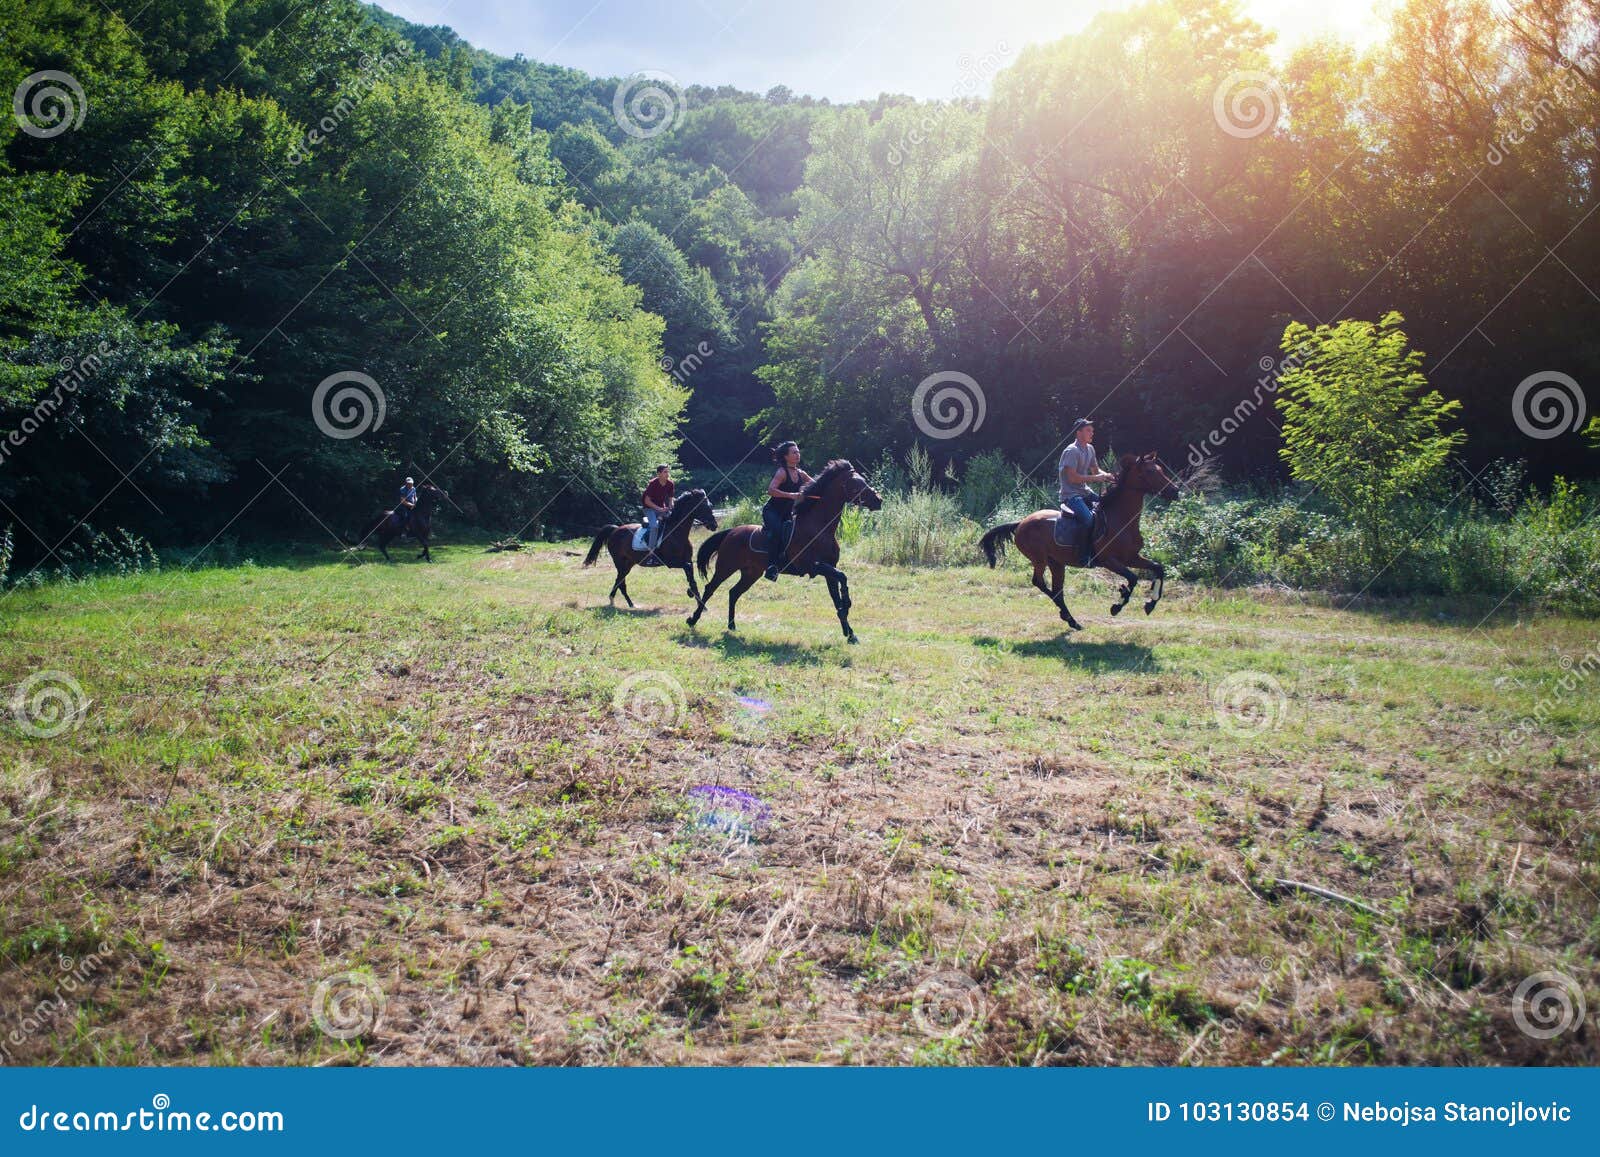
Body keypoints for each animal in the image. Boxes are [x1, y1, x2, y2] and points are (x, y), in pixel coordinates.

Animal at [581, 488, 718, 608]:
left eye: (710, 505)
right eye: (703, 507)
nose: (714, 525)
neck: (677, 533)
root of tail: (615, 529)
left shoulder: (687, 560)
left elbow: (692, 578)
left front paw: (701, 603)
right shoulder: (671, 562)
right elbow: (688, 570)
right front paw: (691, 594)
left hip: (628, 563)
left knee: (619, 580)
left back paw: (622, 602)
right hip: (620, 562)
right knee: (621, 582)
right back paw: (625, 603)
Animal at [687, 460, 883, 643]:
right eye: (856, 484)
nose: (878, 500)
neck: (820, 528)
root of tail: (731, 532)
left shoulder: (829, 569)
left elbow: (837, 596)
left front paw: (850, 633)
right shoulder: (813, 566)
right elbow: (842, 577)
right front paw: (847, 606)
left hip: (751, 573)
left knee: (733, 592)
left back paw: (732, 626)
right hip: (726, 567)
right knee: (710, 588)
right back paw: (693, 619)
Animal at [979, 452, 1180, 631]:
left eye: (1160, 469)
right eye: (1150, 471)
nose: (1175, 491)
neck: (1120, 519)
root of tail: (1021, 523)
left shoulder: (1131, 557)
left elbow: (1158, 568)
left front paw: (1150, 603)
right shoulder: (1108, 560)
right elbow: (1133, 578)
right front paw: (1117, 605)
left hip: (1056, 563)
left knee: (1056, 590)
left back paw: (1071, 620)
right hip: (1039, 559)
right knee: (1040, 583)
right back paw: (1067, 615)